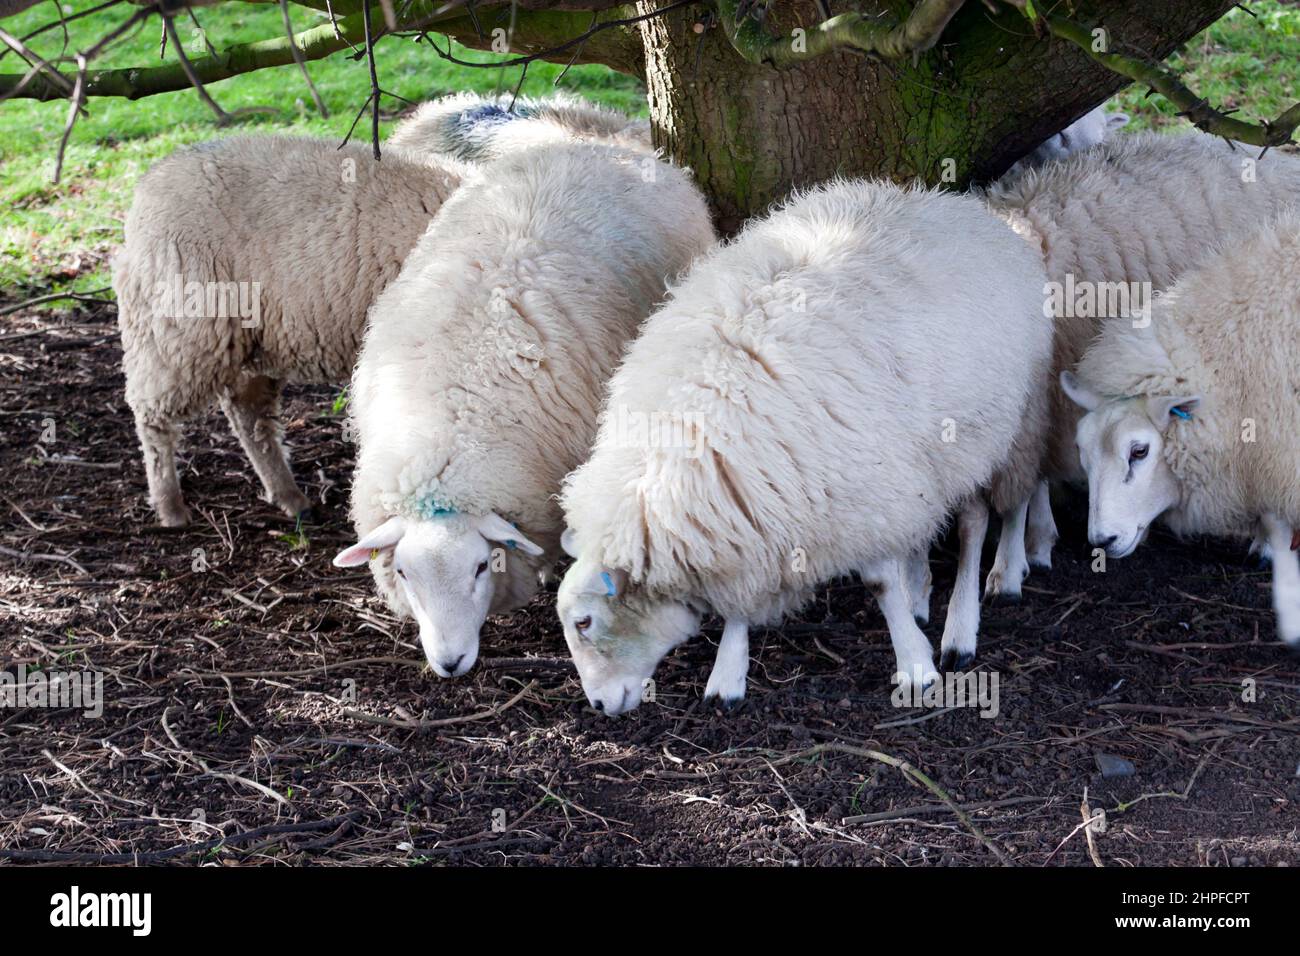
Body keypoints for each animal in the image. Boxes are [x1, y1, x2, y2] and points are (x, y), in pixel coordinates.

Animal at [114, 135, 470, 527]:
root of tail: (151, 180)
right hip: (181, 330)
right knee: (152, 417)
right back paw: (170, 506)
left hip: (254, 339)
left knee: (247, 414)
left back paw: (289, 497)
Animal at [554, 179, 1053, 714]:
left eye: (584, 622)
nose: (599, 706)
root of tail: (961, 206)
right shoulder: (754, 512)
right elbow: (743, 600)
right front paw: (728, 674)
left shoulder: (859, 494)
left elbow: (879, 582)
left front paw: (915, 665)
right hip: (926, 462)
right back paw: (920, 591)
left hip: (1003, 428)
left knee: (983, 518)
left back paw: (973, 613)